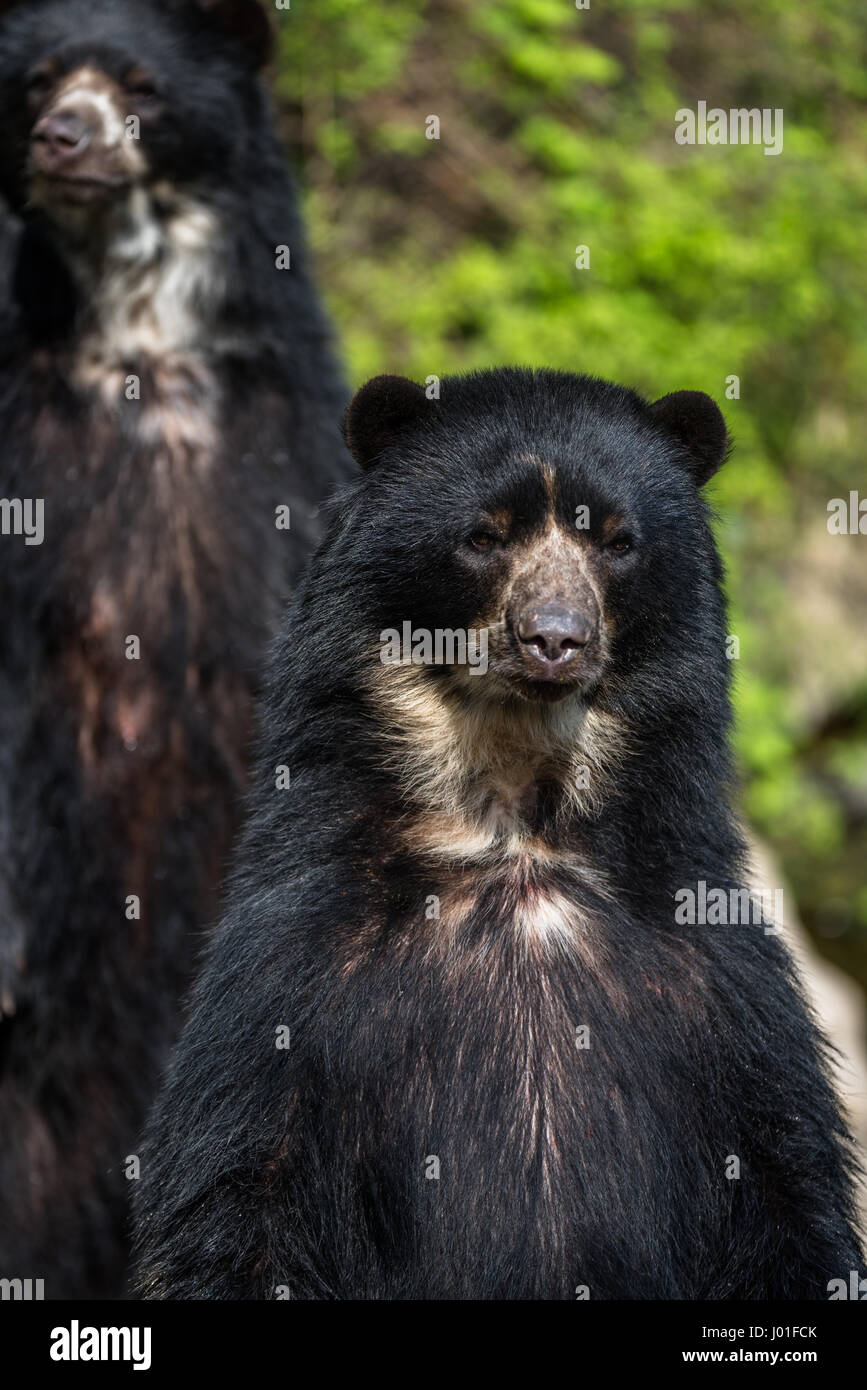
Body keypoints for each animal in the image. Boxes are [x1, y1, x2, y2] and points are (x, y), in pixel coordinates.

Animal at [134, 368, 864, 1300]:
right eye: (483, 536)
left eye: (618, 543)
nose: (555, 639)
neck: (515, 830)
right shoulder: (288, 978)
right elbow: (235, 1197)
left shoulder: (725, 992)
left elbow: (785, 1192)